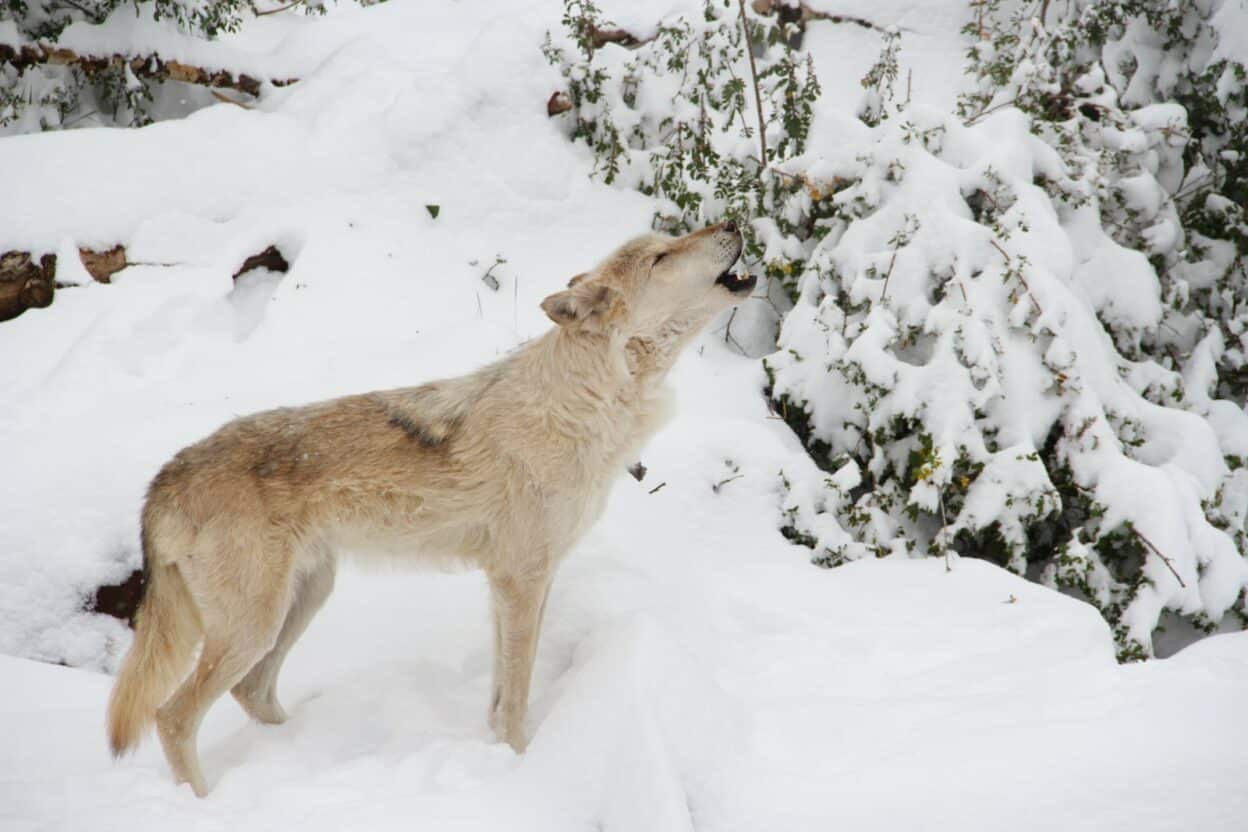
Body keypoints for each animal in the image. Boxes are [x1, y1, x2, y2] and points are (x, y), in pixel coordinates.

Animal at [105, 221, 750, 796]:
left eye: (672, 243)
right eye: (661, 257)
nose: (733, 223)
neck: (583, 404)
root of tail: (163, 478)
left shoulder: (518, 582)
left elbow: (499, 693)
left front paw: (498, 752)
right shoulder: (521, 580)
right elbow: (516, 696)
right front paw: (519, 764)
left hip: (304, 598)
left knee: (253, 693)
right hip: (254, 624)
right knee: (173, 716)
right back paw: (204, 802)